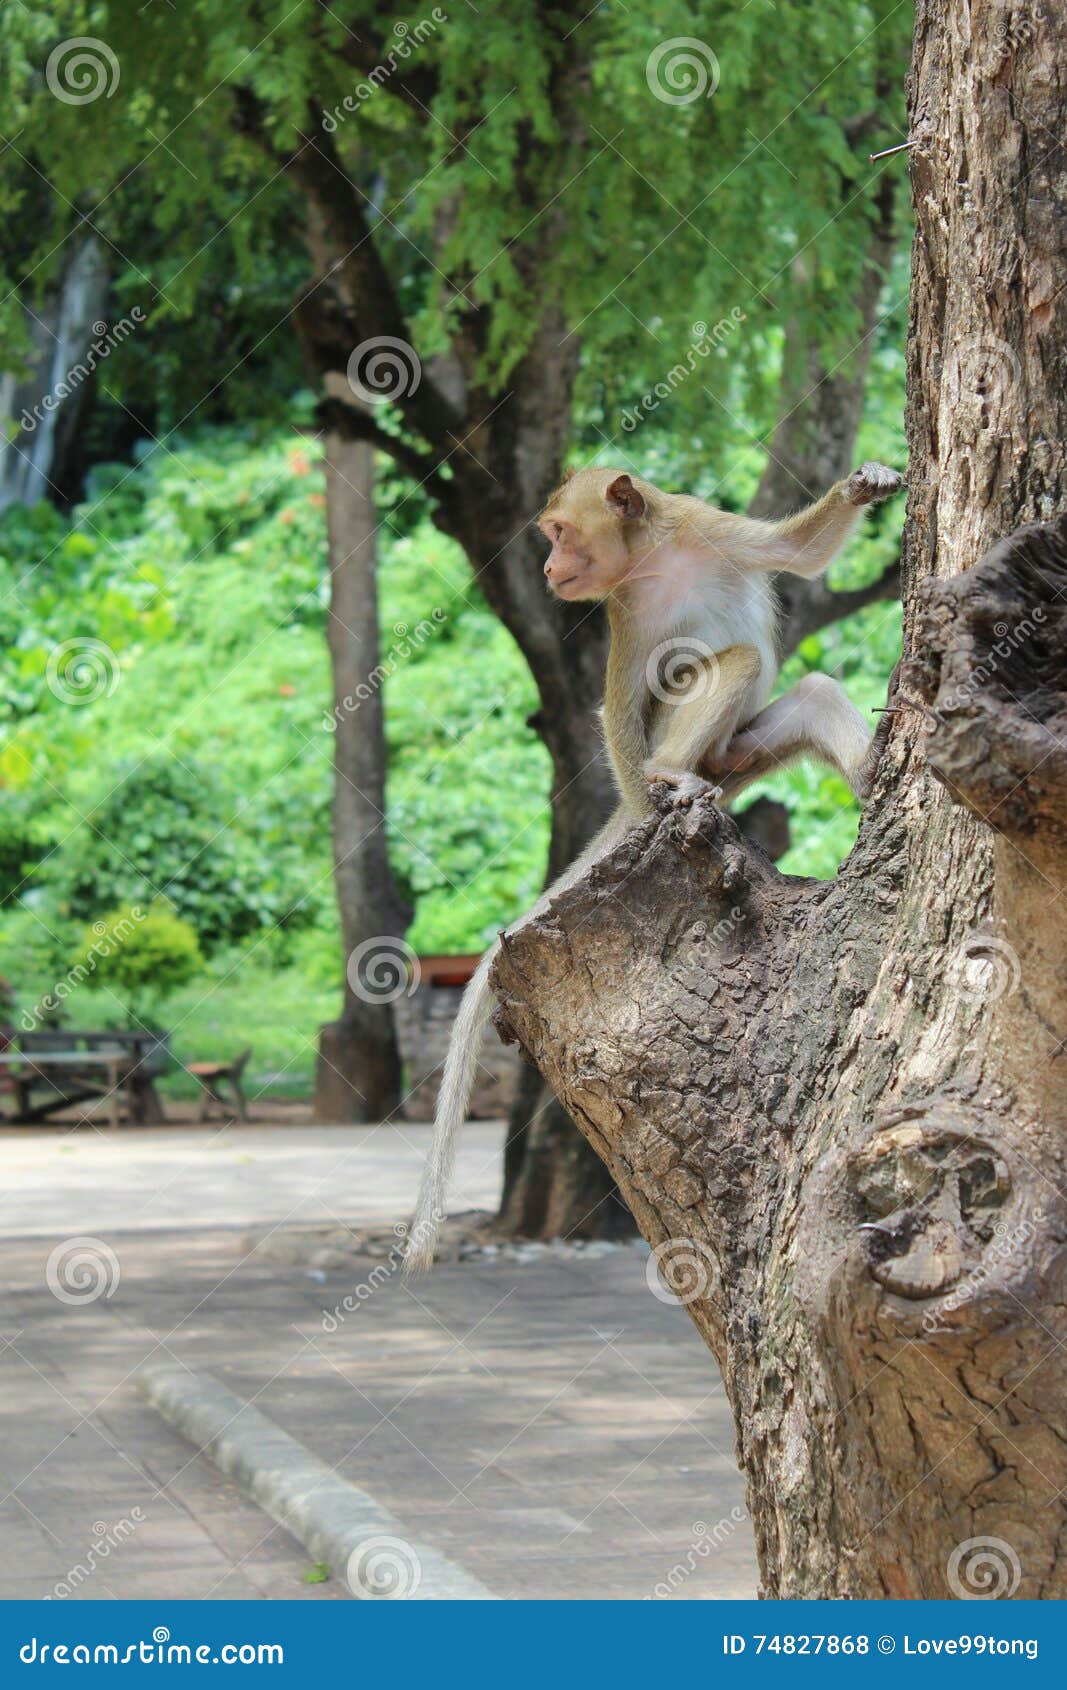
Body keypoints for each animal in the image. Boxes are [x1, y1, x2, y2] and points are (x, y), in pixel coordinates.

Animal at [403, 460, 902, 1273]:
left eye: (560, 532)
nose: (548, 568)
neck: (653, 555)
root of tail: (718, 765)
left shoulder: (709, 525)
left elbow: (796, 556)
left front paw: (865, 485)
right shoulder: (622, 612)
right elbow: (617, 710)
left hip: (745, 753)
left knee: (806, 689)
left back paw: (862, 773)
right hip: (710, 754)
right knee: (710, 674)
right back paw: (667, 782)